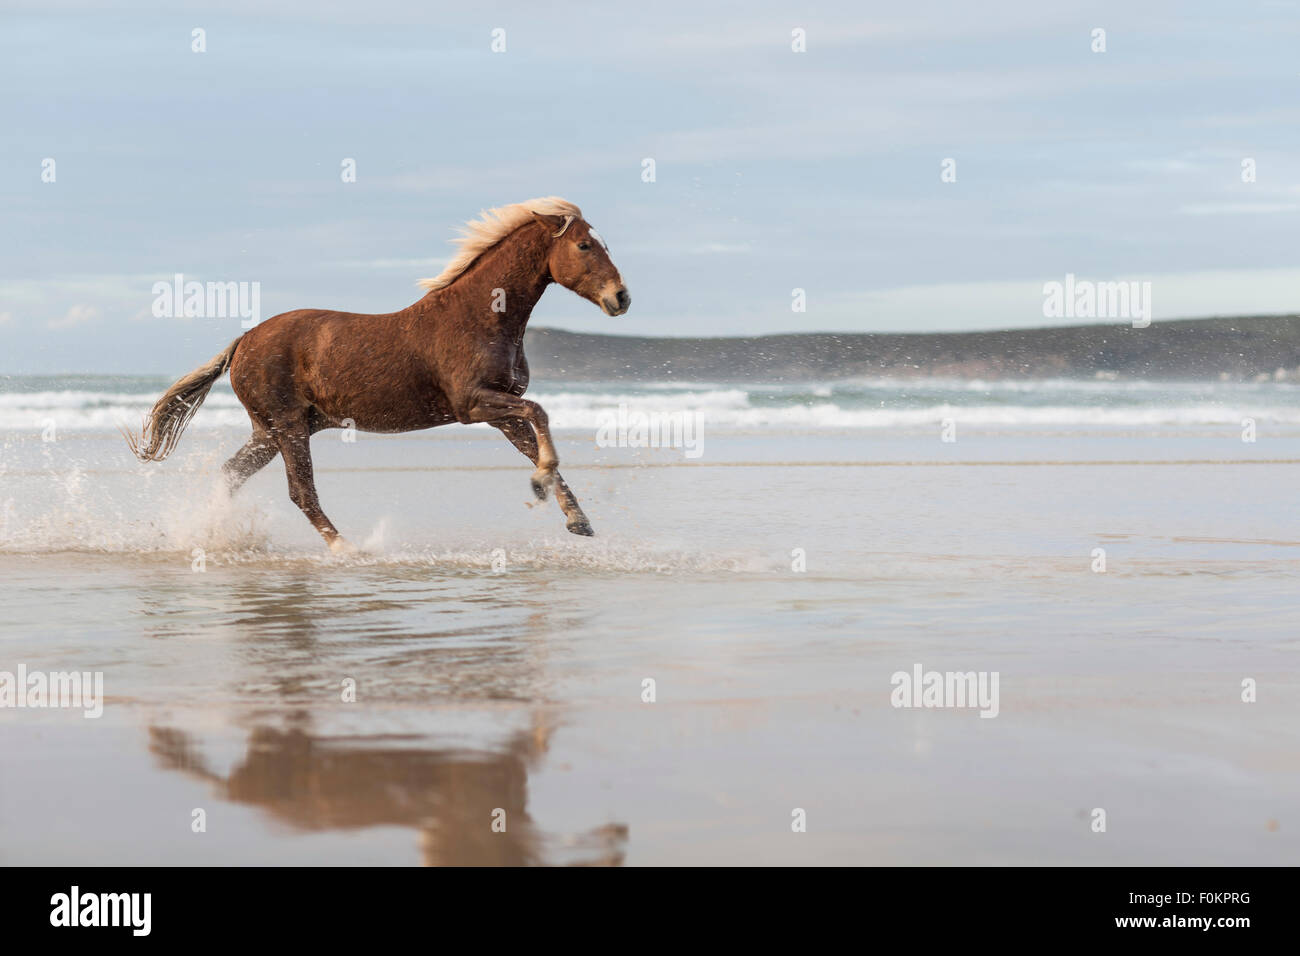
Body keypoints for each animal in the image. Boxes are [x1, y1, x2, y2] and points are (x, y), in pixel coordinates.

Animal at [124, 197, 630, 553]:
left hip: (270, 432)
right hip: (288, 428)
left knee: (232, 473)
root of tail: (244, 341)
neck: (481, 316)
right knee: (300, 492)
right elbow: (541, 415)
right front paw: (541, 487)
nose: (621, 298)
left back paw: (213, 534)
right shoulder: (474, 404)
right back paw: (346, 548)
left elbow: (538, 440)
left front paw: (576, 519)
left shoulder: (500, 413)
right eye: (584, 245)